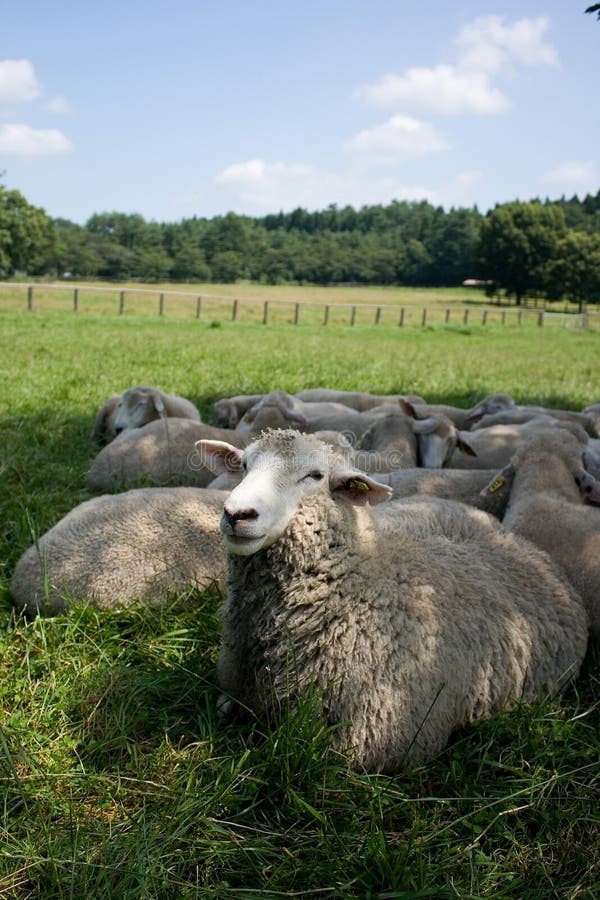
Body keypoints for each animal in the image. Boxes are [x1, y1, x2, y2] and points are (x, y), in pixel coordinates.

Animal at [198, 429, 587, 772]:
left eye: (315, 475)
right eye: (244, 465)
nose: (237, 514)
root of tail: (508, 535)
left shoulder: (376, 739)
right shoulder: (234, 690)